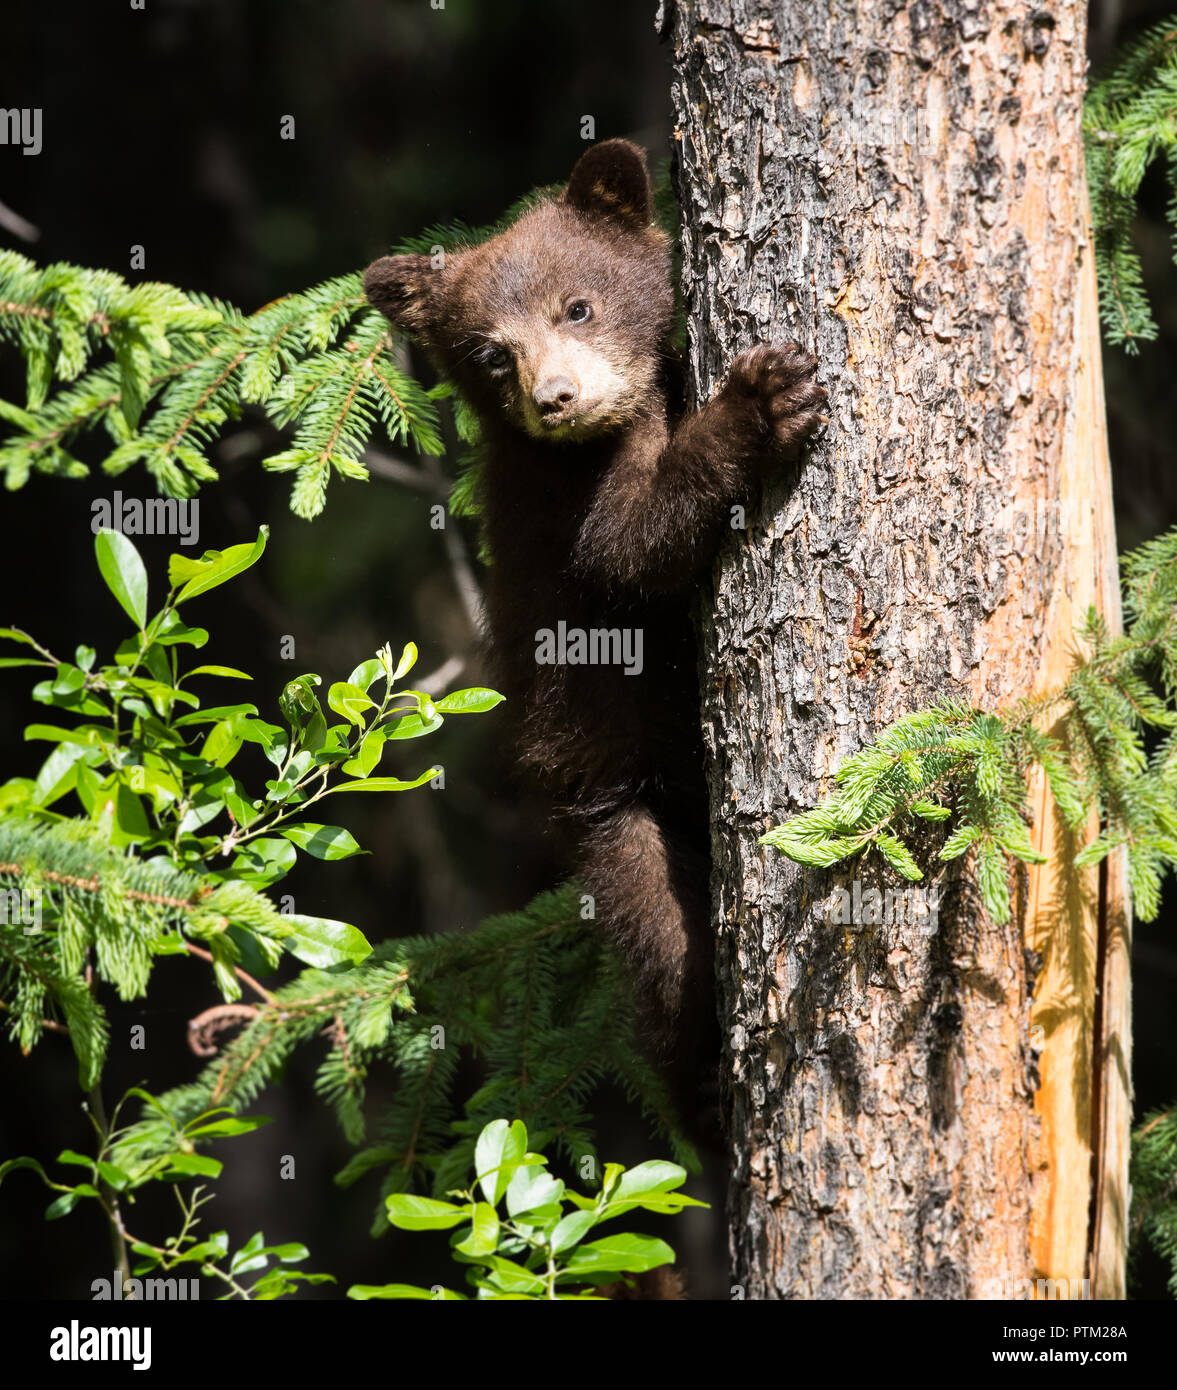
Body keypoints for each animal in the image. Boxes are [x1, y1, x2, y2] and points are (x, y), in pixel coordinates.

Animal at [363, 139, 825, 1131]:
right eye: (490, 353)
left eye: (576, 305)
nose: (557, 398)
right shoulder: (558, 506)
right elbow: (633, 547)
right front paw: (763, 398)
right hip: (616, 821)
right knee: (666, 957)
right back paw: (704, 1093)